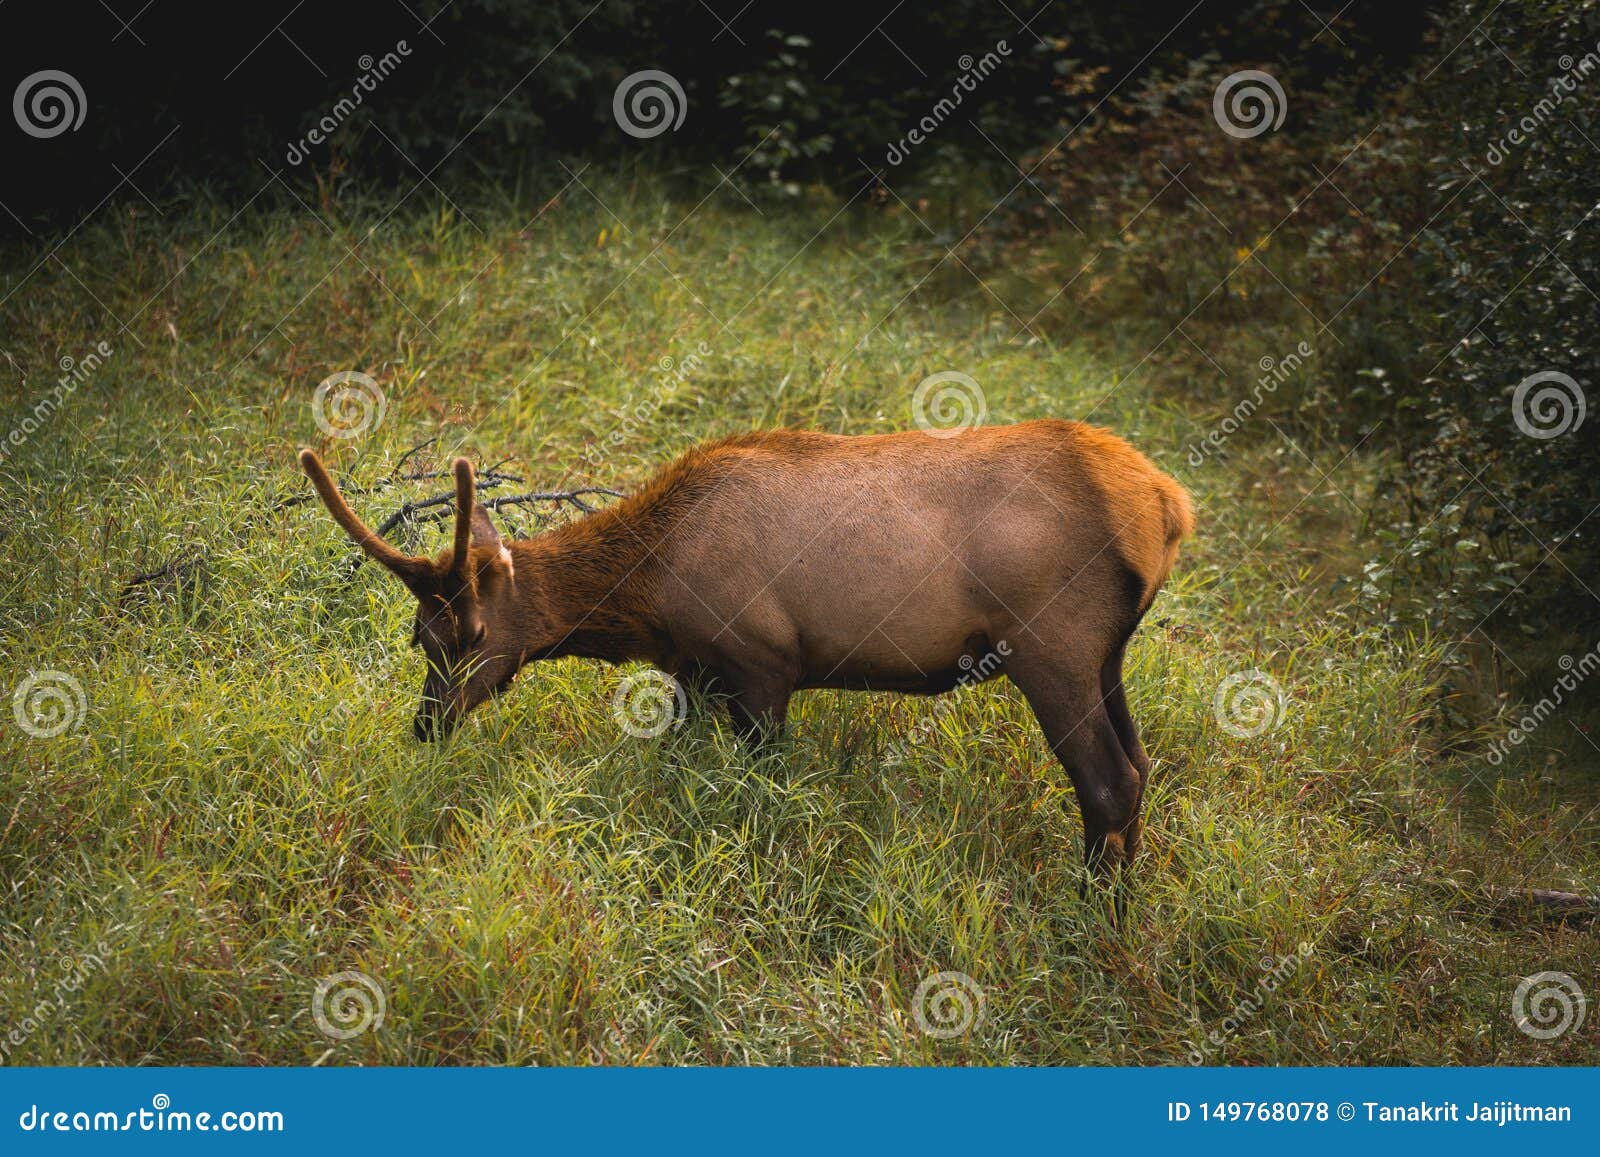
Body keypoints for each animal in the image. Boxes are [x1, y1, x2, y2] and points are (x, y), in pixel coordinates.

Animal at [298, 419, 1192, 893]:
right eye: (420, 636)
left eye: (473, 635)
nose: (427, 725)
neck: (653, 598)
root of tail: (1168, 505)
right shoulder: (694, 672)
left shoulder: (763, 662)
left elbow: (763, 792)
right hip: (1106, 654)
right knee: (1140, 765)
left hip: (1051, 641)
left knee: (1107, 778)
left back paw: (1089, 909)